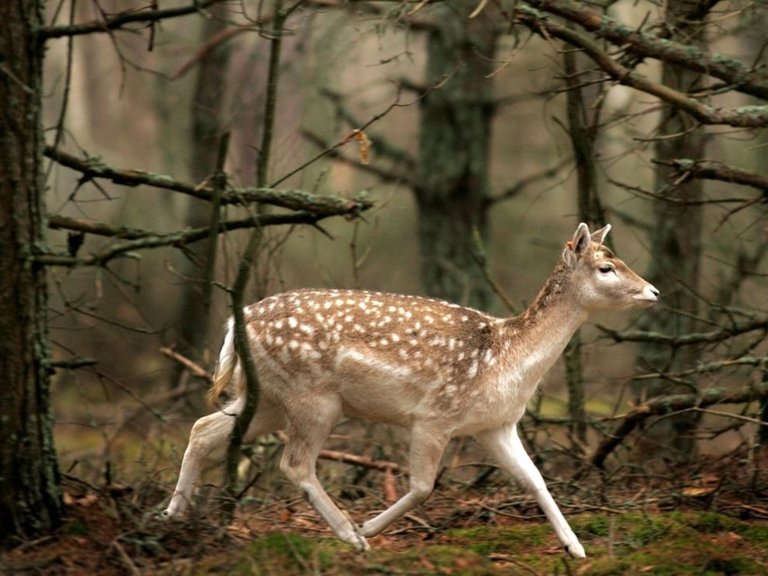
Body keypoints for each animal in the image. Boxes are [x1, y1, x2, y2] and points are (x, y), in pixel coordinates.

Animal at [162, 223, 659, 558]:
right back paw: (351, 536)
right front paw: (369, 527)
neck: (506, 359)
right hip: (312, 397)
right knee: (295, 463)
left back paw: (171, 517)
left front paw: (576, 547)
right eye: (607, 267)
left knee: (202, 429)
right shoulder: (434, 415)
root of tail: (236, 323)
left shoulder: (495, 425)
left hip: (264, 397)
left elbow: (534, 477)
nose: (653, 291)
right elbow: (423, 486)